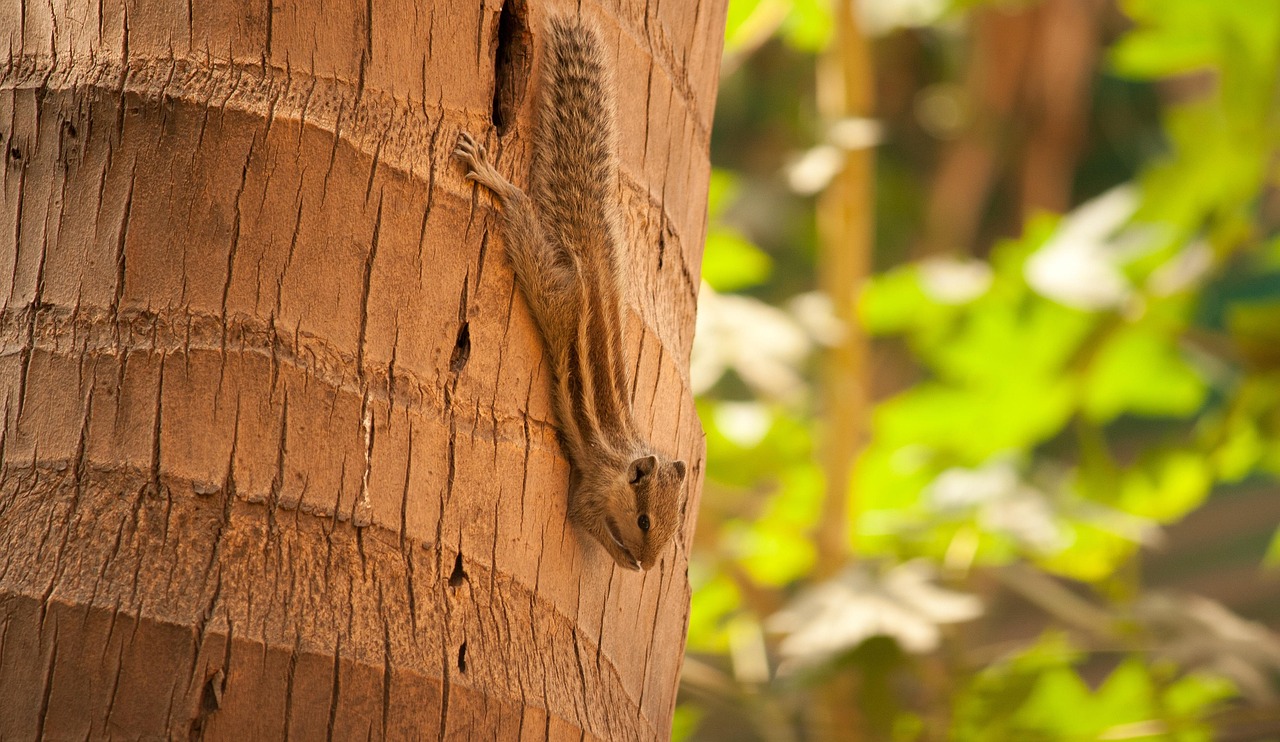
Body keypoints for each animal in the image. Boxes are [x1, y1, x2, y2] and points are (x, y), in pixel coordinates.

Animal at [454, 16, 687, 571]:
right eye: (643, 521)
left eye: (671, 530)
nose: (650, 563)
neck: (623, 460)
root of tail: (597, 272)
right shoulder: (592, 491)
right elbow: (583, 517)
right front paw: (624, 559)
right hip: (553, 289)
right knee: (522, 218)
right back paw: (496, 180)